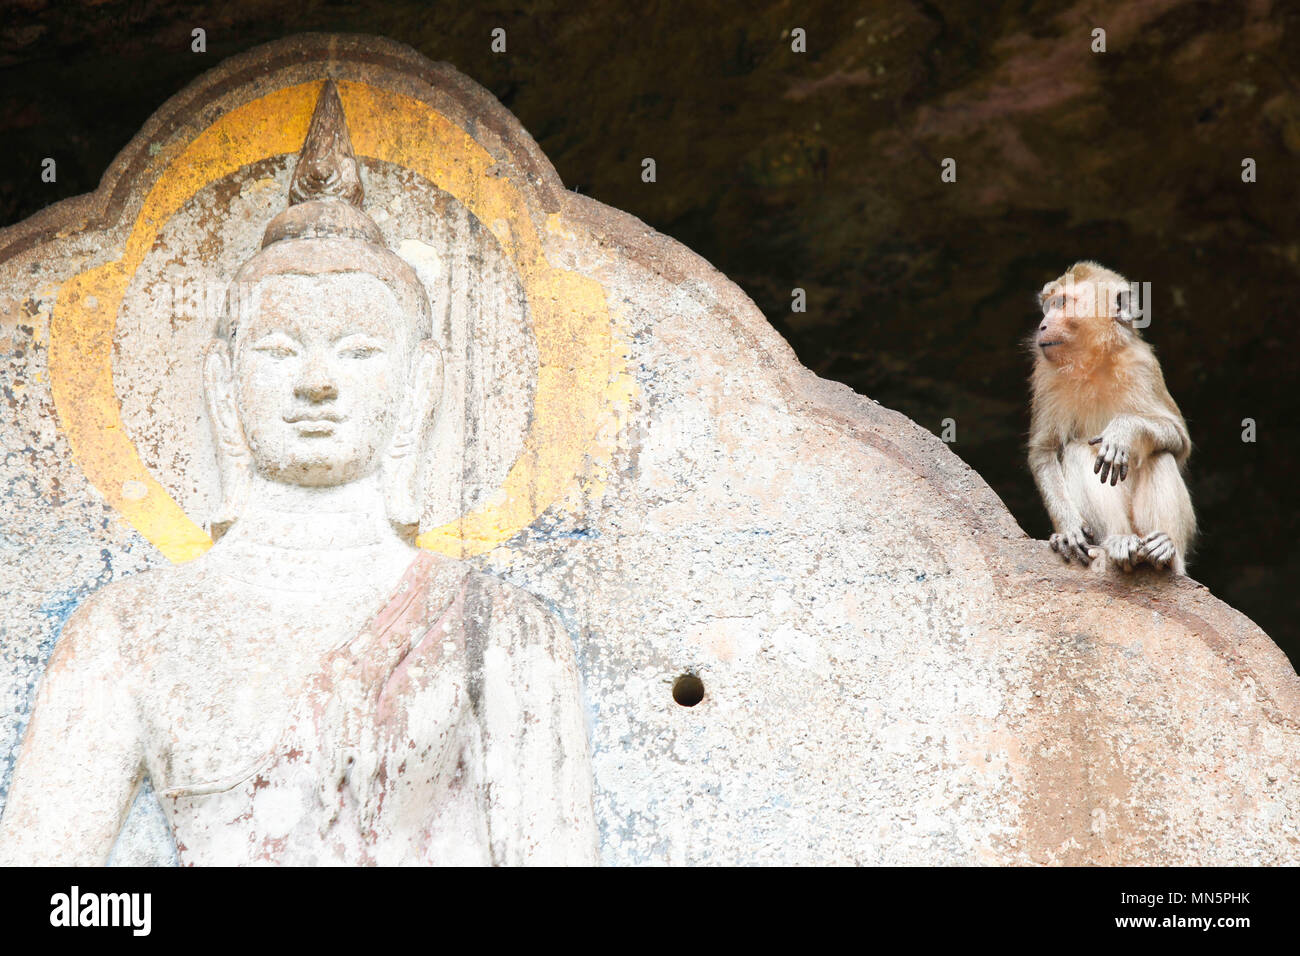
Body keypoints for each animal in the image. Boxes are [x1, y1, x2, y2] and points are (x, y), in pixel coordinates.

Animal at [1028, 261, 1196, 574]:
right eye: (1048, 306)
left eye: (1061, 303)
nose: (1042, 325)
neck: (1093, 361)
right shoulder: (1044, 375)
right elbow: (1043, 451)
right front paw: (1069, 529)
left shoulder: (1144, 365)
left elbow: (1179, 441)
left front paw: (1124, 431)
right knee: (1079, 451)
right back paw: (1118, 541)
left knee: (1159, 454)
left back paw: (1165, 551)